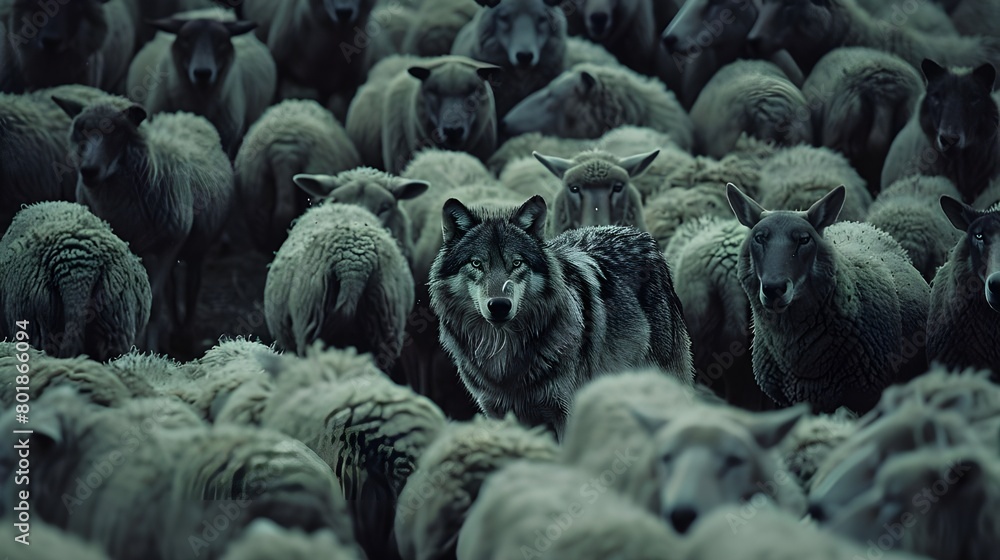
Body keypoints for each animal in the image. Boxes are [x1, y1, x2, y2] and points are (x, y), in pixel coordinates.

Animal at [53, 98, 234, 354]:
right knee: (172, 288)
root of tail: (184, 114)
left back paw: (185, 333)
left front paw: (151, 351)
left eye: (116, 131)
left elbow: (155, 303)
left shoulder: (170, 243)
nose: (88, 171)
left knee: (192, 283)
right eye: (82, 131)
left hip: (197, 244)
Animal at [428, 195, 693, 437]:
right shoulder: (501, 415)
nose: (500, 306)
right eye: (476, 264)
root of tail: (641, 235)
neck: (504, 352)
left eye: (517, 263)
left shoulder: (567, 412)